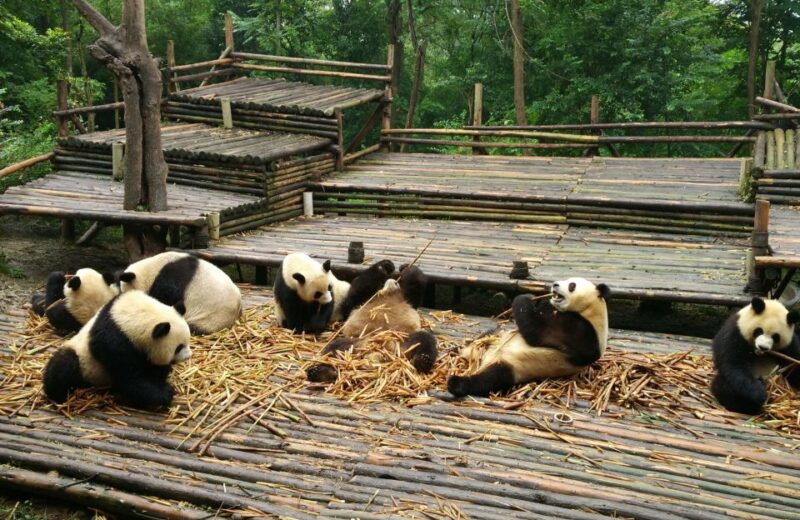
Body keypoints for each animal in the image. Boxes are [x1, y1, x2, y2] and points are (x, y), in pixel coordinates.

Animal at [42, 290, 191, 410]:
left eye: (188, 340)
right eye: (178, 347)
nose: (188, 356)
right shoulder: (113, 343)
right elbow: (129, 377)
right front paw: (165, 393)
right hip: (81, 359)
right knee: (63, 365)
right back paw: (57, 395)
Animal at [306, 264, 437, 383]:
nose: (392, 281)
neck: (388, 294)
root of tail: (380, 350)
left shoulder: (407, 299)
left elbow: (414, 286)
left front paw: (405, 268)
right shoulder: (362, 301)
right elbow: (355, 294)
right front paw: (385, 266)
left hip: (403, 339)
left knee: (425, 340)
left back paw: (422, 361)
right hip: (355, 343)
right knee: (333, 350)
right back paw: (321, 372)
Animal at [448, 277, 610, 397]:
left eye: (572, 285)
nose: (555, 285)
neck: (591, 311)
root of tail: (480, 359)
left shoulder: (579, 331)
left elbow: (537, 331)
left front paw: (524, 297)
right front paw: (539, 300)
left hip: (512, 366)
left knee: (489, 379)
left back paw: (456, 383)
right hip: (496, 338)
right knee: (489, 334)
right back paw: (454, 350)